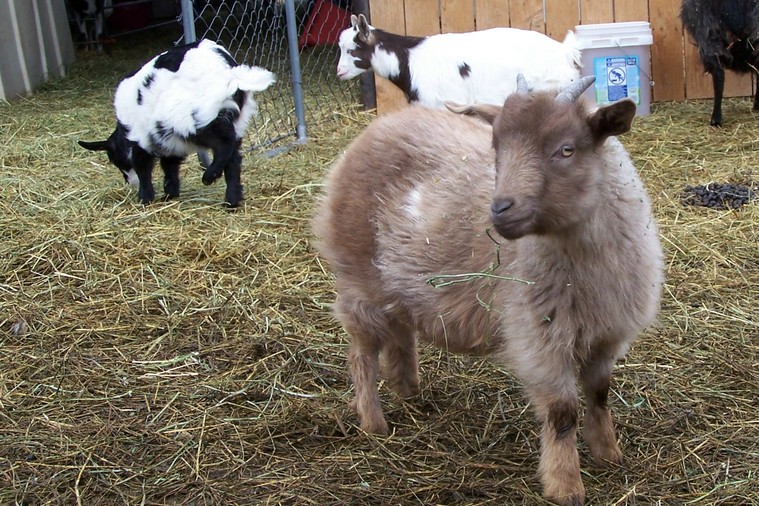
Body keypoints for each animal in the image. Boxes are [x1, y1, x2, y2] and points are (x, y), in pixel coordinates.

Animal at [79, 39, 275, 207]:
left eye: (115, 159)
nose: (129, 183)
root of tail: (229, 72)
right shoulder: (169, 142)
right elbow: (170, 166)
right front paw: (169, 194)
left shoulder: (140, 140)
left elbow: (143, 168)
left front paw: (144, 198)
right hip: (236, 120)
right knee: (233, 158)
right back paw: (231, 201)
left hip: (195, 119)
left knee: (224, 144)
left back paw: (209, 177)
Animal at [312, 75, 664, 505]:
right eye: (496, 146)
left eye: (566, 149)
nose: (500, 209)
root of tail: (376, 128)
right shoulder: (539, 338)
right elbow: (562, 412)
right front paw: (565, 485)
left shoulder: (608, 335)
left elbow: (600, 394)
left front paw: (610, 456)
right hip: (358, 278)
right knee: (361, 355)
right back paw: (373, 422)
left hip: (396, 283)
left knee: (399, 332)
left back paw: (408, 390)